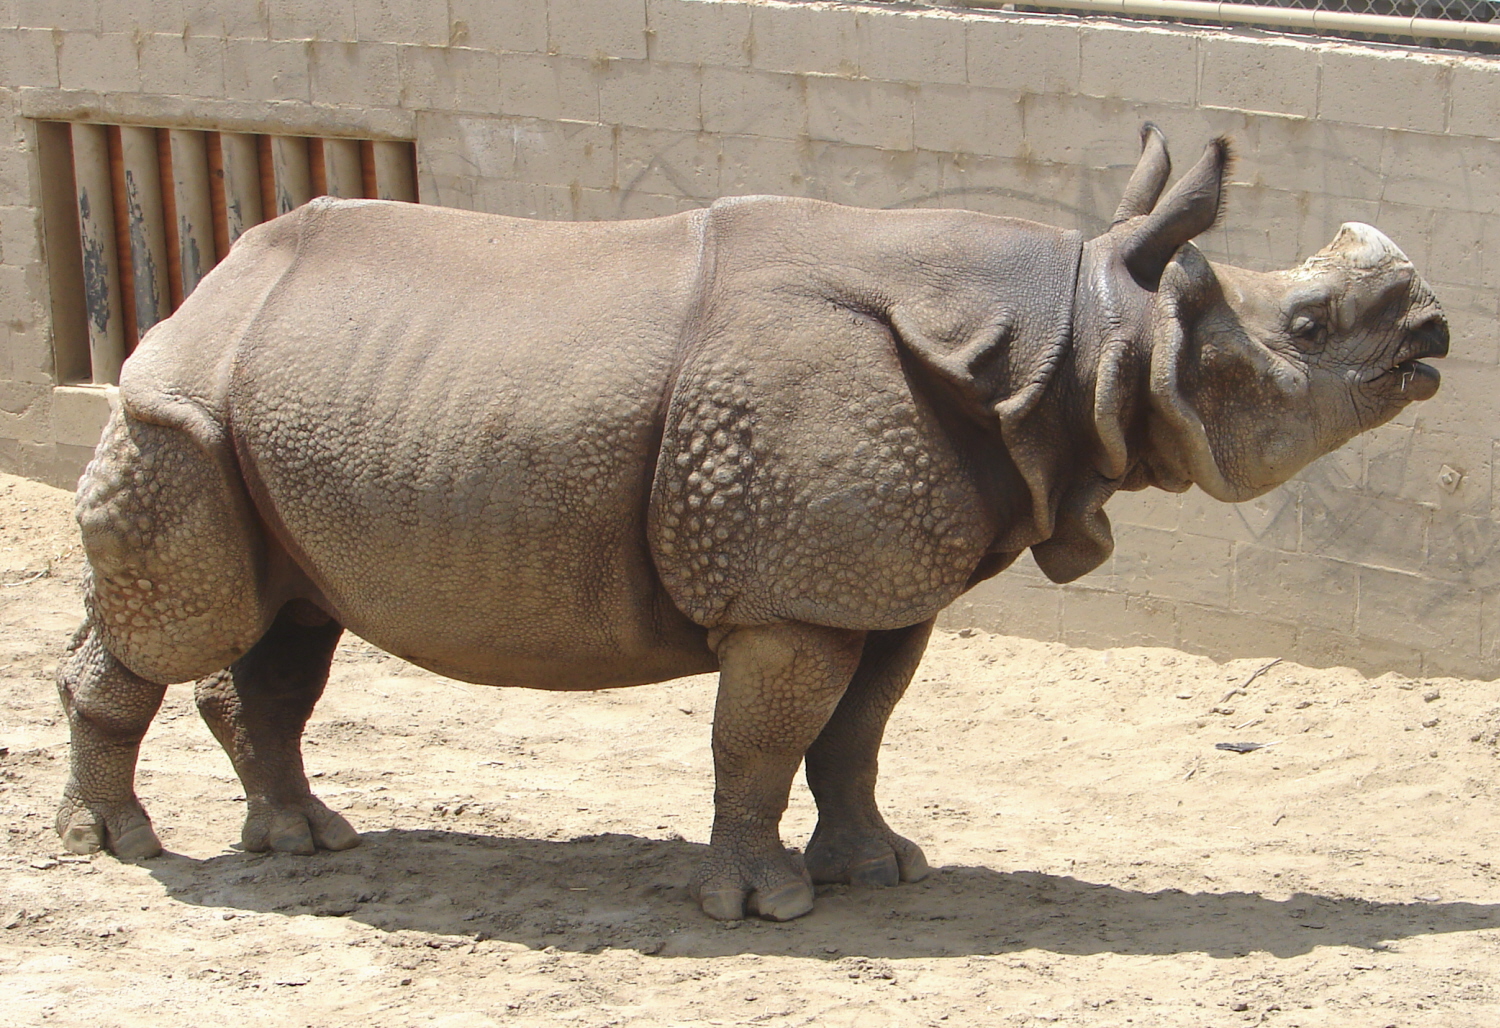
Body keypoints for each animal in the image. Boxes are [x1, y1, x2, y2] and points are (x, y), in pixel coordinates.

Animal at [57, 126, 1447, 921]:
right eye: (1309, 328)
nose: (1434, 328)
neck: (1079, 328)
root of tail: (201, 288)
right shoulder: (795, 589)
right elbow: (764, 738)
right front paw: (760, 906)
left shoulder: (876, 581)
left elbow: (857, 735)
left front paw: (880, 871)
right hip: (181, 410)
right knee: (186, 623)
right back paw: (121, 847)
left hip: (278, 414)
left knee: (289, 625)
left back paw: (300, 840)